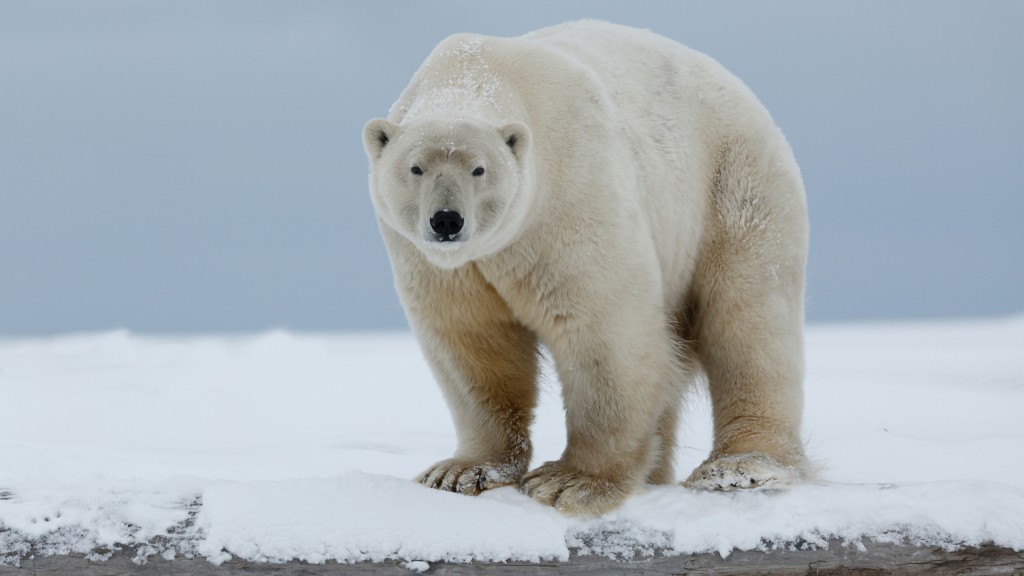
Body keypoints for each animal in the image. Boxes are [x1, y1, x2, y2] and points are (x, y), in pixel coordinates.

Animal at [362, 20, 810, 515]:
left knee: (748, 321)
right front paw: (460, 471)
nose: (446, 220)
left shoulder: (569, 196)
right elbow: (474, 343)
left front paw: (570, 482)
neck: (475, 72)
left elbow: (603, 334)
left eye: (479, 169)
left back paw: (740, 467)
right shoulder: (442, 265)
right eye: (415, 168)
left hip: (732, 186)